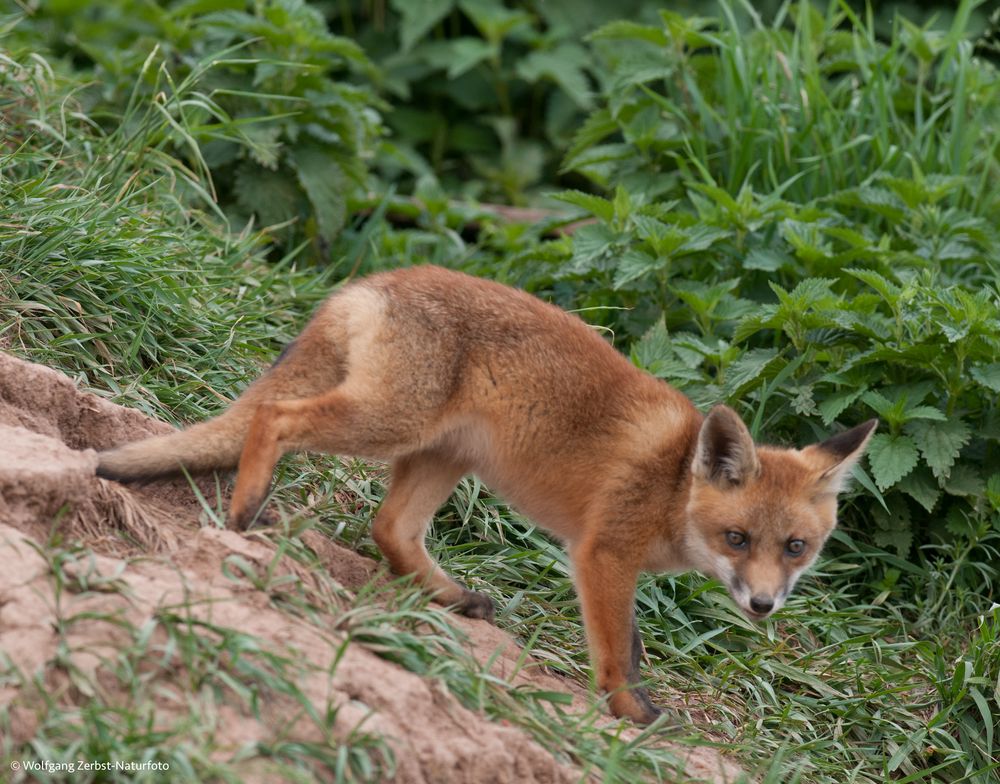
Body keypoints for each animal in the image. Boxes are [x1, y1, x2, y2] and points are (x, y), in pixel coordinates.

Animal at [97, 265, 877, 724]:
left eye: (797, 547)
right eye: (737, 539)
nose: (764, 605)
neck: (670, 485)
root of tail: (373, 277)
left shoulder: (614, 562)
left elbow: (633, 644)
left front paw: (641, 701)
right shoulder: (601, 554)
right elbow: (614, 651)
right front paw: (627, 712)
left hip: (441, 455)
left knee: (388, 528)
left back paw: (450, 598)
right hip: (390, 423)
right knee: (274, 417)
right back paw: (244, 506)